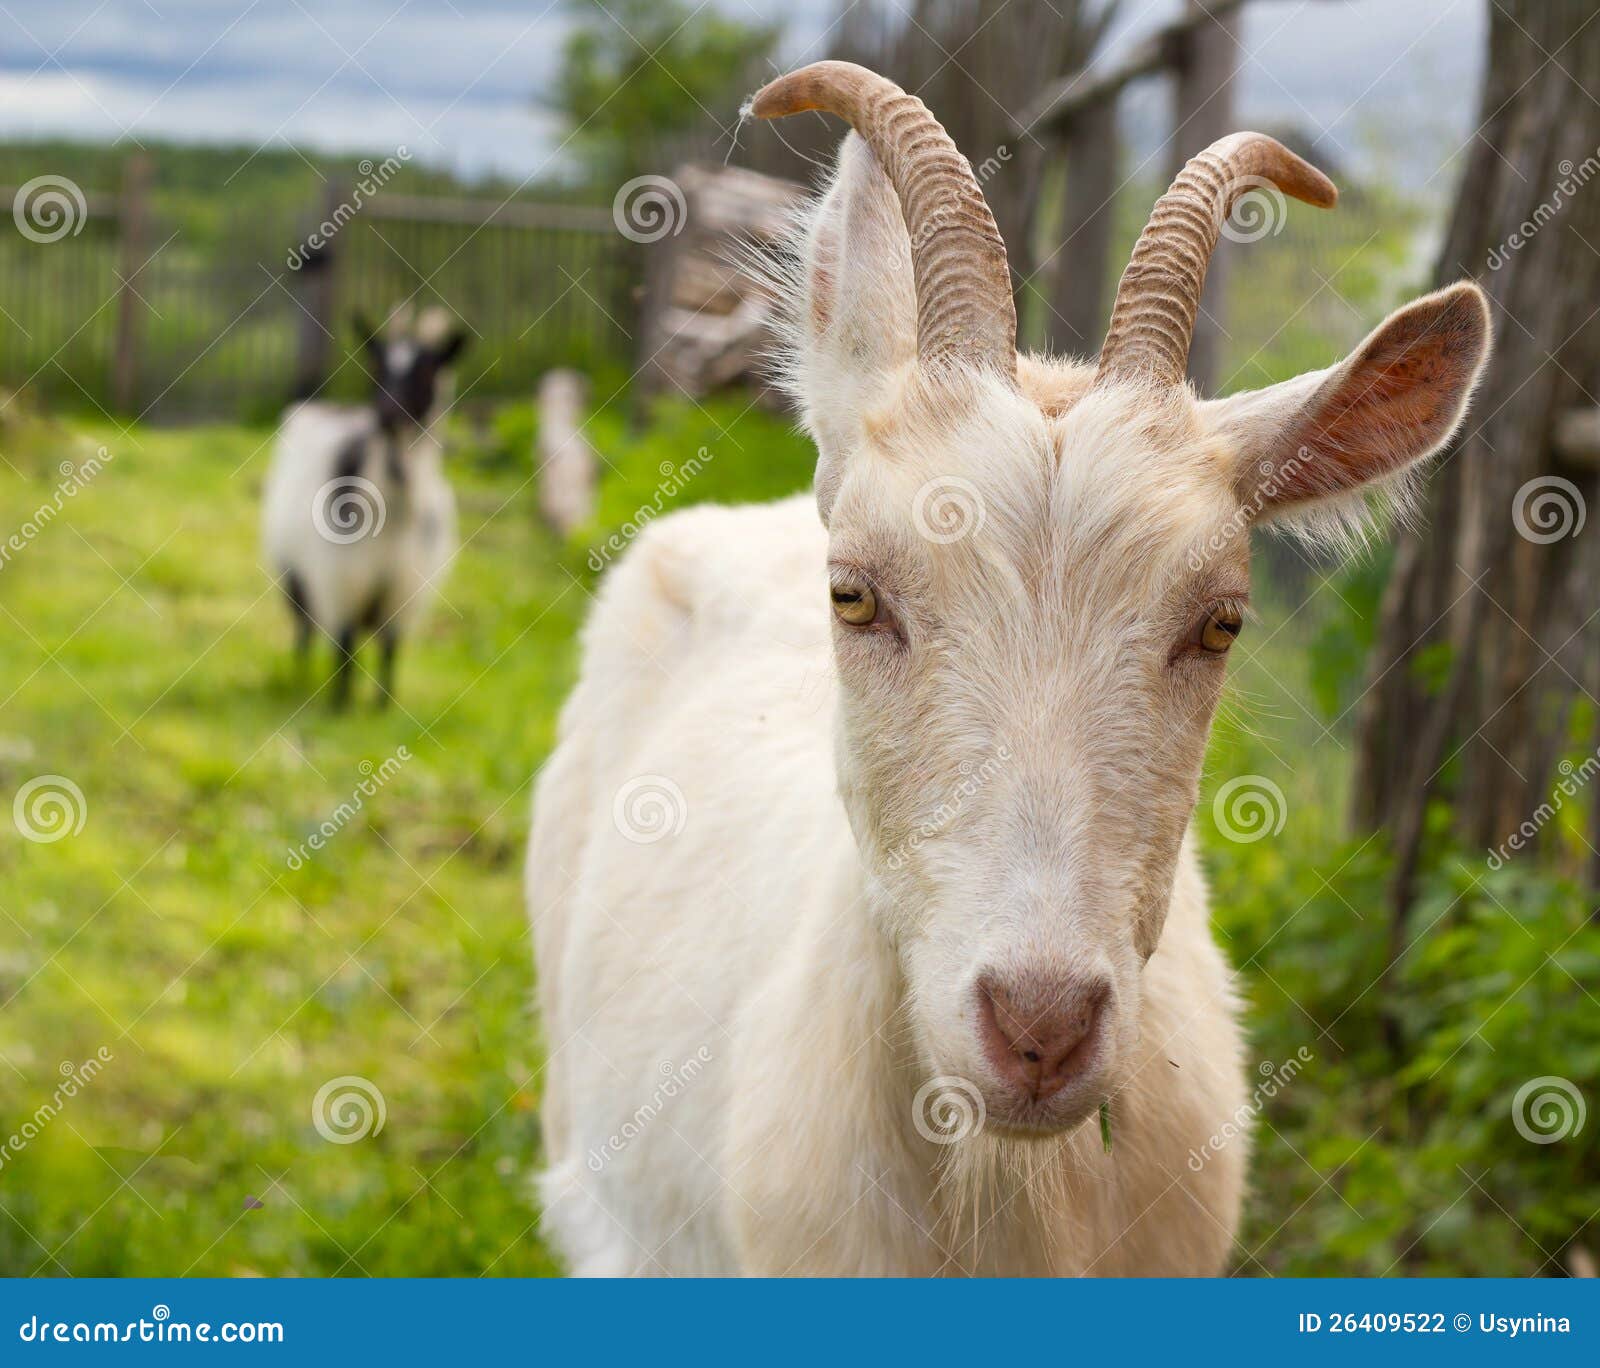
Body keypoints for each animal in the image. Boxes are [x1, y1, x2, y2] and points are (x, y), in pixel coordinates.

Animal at [262, 308, 466, 708]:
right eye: (377, 366)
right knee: (304, 628)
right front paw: (340, 705)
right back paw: (299, 678)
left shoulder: (403, 590)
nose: (387, 414)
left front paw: (383, 706)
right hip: (294, 570)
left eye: (427, 370)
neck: (392, 512)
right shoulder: (341, 579)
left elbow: (389, 650)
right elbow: (345, 647)